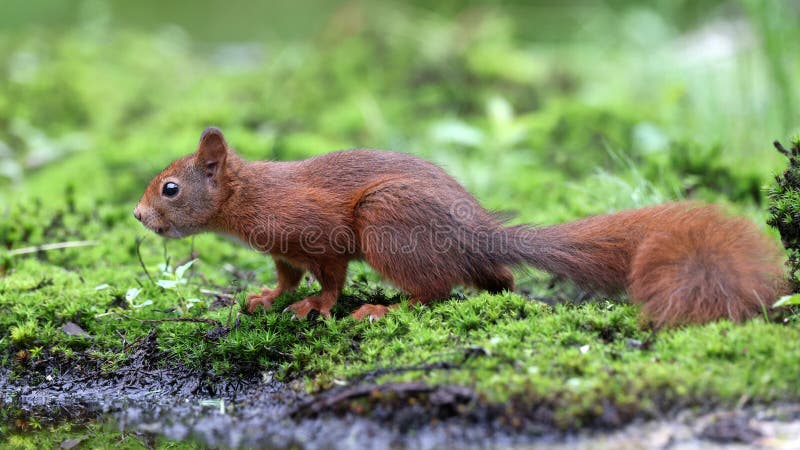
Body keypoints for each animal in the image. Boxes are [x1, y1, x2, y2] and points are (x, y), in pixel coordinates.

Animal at [134, 127, 786, 326]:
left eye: (171, 188)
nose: (139, 216)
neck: (250, 196)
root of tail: (477, 231)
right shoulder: (282, 250)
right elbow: (286, 276)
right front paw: (266, 298)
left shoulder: (317, 229)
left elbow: (330, 275)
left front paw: (317, 306)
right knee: (495, 279)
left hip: (386, 222)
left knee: (436, 289)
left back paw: (383, 307)